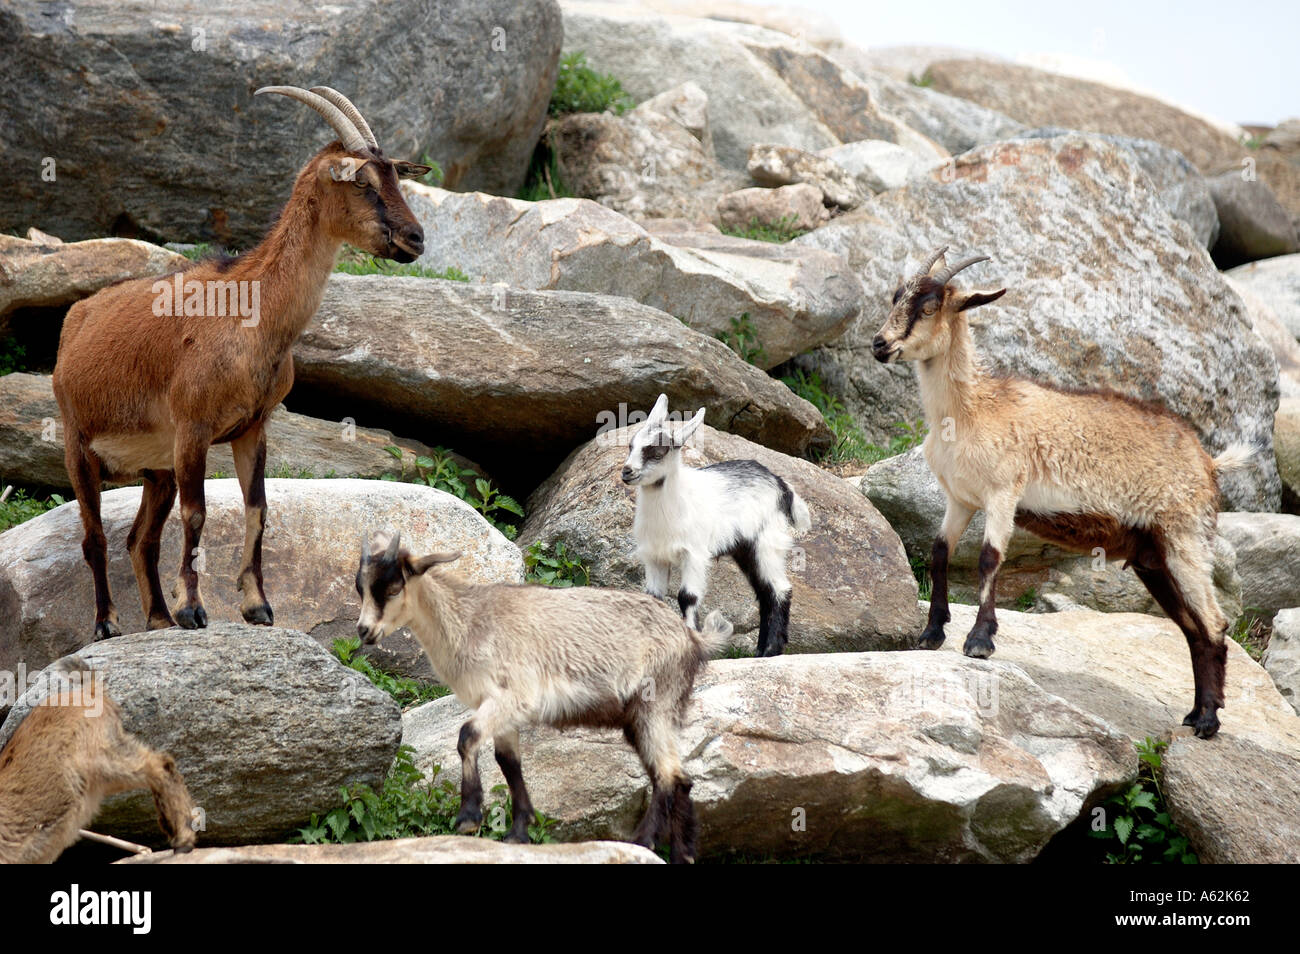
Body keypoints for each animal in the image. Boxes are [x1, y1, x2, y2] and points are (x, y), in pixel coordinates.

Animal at [52, 87, 430, 639]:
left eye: (395, 177)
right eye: (362, 182)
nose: (415, 239)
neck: (253, 314)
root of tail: (75, 321)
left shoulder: (252, 427)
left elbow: (258, 510)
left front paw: (257, 608)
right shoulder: (193, 428)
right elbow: (196, 516)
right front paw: (195, 610)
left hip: (156, 467)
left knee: (140, 539)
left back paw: (158, 619)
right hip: (78, 444)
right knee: (95, 537)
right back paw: (107, 624)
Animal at [355, 531, 731, 863]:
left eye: (392, 587)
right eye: (360, 588)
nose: (364, 631)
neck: (469, 622)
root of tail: (693, 640)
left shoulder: (511, 697)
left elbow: (467, 736)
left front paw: (469, 818)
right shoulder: (501, 710)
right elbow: (508, 761)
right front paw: (518, 831)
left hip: (655, 702)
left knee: (667, 776)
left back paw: (641, 840)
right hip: (643, 717)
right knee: (680, 779)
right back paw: (682, 854)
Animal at [621, 394, 811, 657]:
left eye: (658, 451)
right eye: (631, 446)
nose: (627, 471)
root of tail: (780, 484)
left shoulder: (694, 554)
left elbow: (687, 597)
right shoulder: (654, 557)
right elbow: (654, 599)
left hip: (766, 541)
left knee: (779, 589)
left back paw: (770, 650)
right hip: (745, 549)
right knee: (764, 592)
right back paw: (760, 650)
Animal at [872, 246, 1253, 739]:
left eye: (930, 306)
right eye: (896, 296)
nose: (880, 344)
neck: (971, 409)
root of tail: (1208, 463)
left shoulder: (1004, 492)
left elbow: (989, 558)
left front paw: (979, 641)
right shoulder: (961, 499)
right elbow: (939, 553)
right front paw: (931, 633)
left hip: (1184, 536)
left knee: (1214, 623)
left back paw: (1208, 721)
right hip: (1154, 556)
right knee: (1193, 628)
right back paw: (1194, 714)